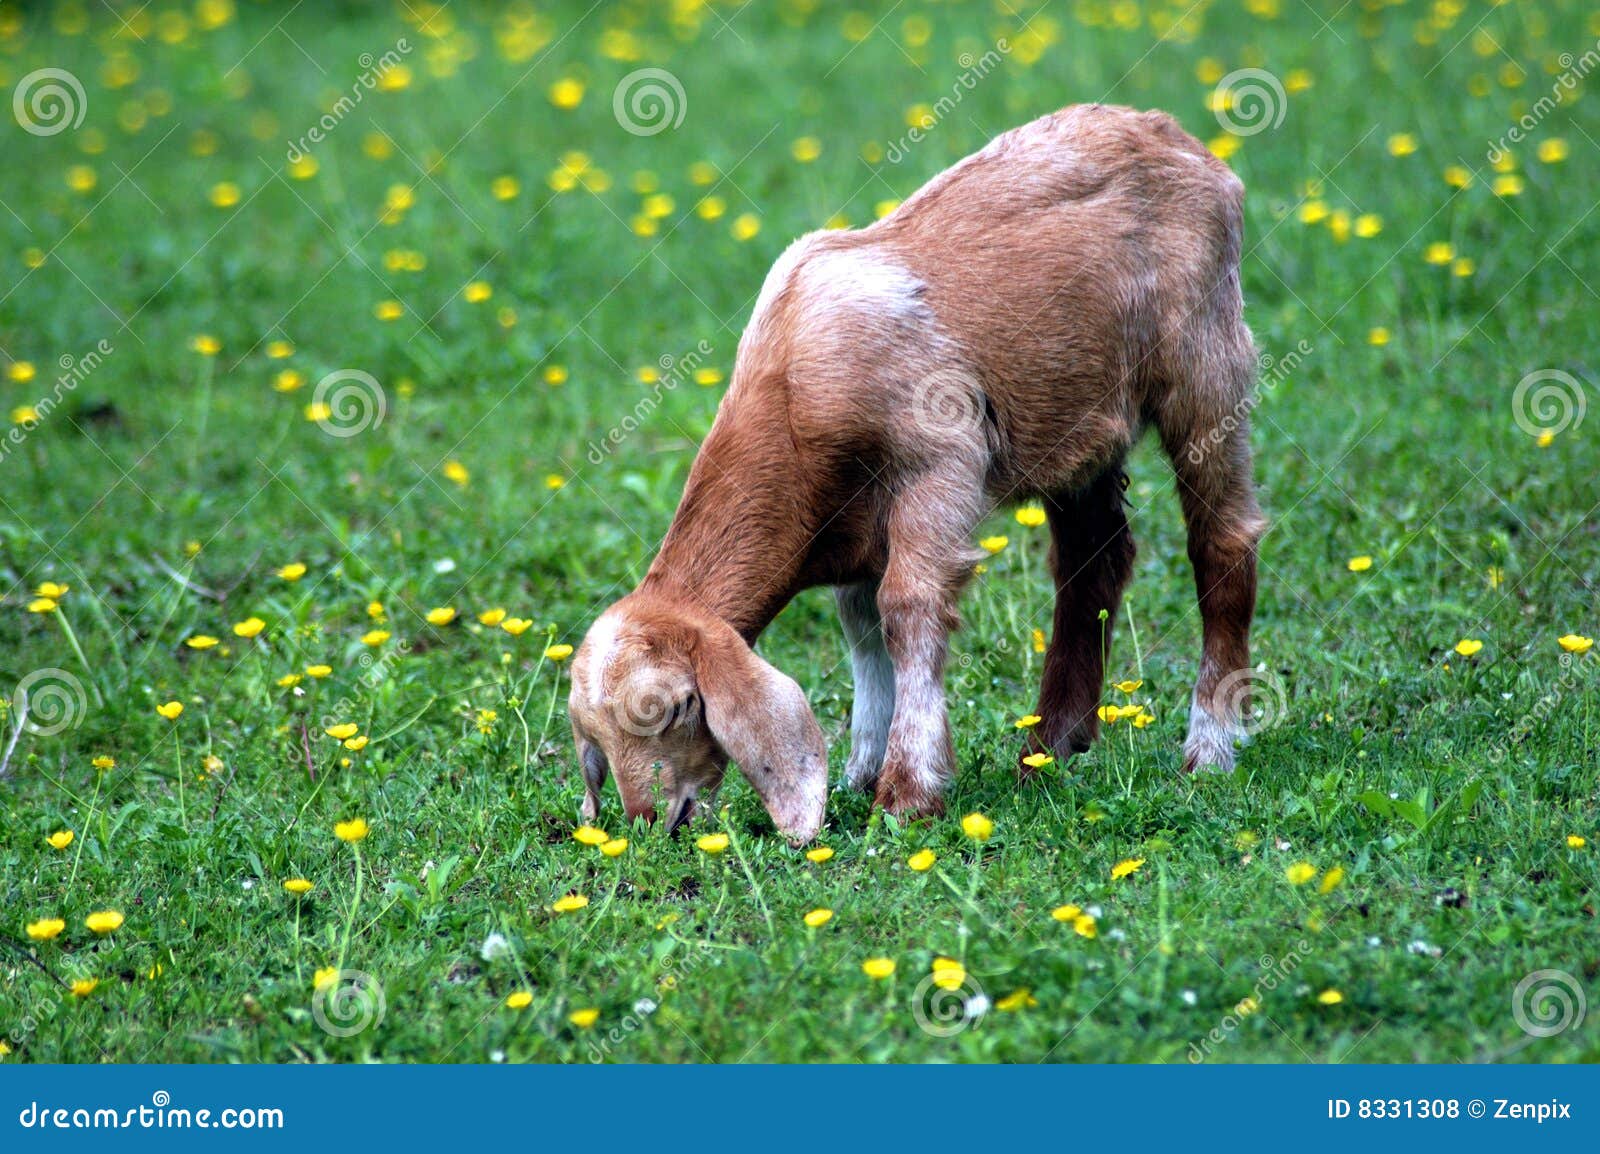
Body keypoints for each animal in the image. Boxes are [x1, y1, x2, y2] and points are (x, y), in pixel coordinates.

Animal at [568, 104, 1266, 844]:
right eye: (594, 740)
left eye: (674, 708)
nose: (650, 822)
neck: (792, 389)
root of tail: (1175, 136)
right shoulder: (853, 522)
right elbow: (861, 624)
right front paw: (862, 769)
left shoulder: (941, 458)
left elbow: (906, 609)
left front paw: (907, 791)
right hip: (1078, 418)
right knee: (1093, 559)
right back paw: (1049, 748)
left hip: (1205, 360)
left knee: (1221, 539)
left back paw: (1210, 746)